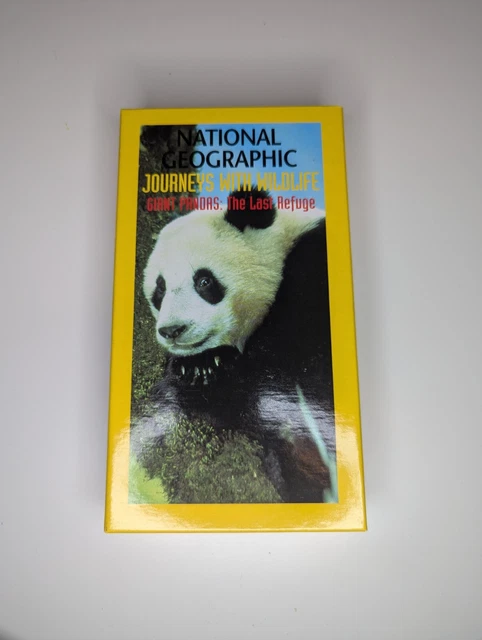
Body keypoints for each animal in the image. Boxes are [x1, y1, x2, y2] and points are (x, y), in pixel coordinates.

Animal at [141, 187, 336, 503]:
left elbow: (286, 379)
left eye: (204, 281)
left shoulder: (313, 284)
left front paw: (201, 369)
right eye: (160, 289)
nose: (172, 330)